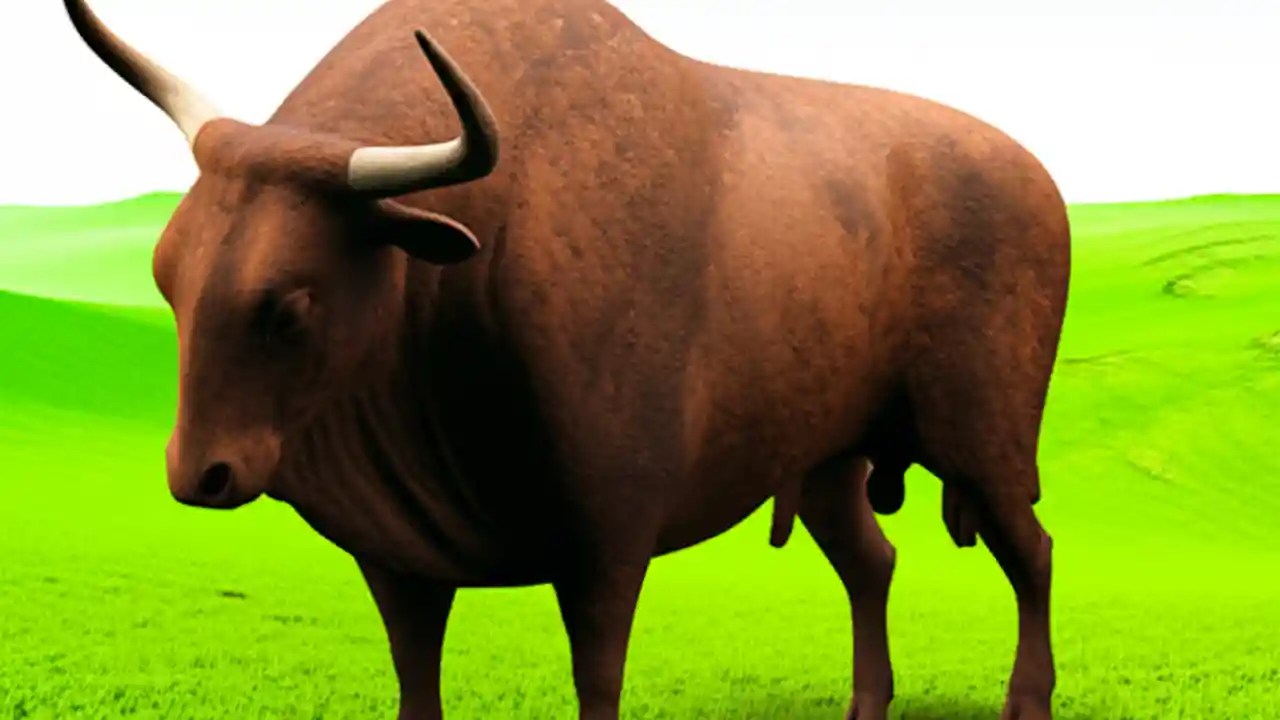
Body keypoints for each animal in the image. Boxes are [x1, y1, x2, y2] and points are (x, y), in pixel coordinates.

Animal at [63, 0, 1071, 718]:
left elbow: (597, 679)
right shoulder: (394, 555)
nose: (198, 474)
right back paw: (868, 704)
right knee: (872, 561)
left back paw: (1026, 701)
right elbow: (415, 680)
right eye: (165, 273)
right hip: (828, 458)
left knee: (1032, 552)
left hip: (986, 441)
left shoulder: (606, 538)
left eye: (290, 305)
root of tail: (1035, 176)